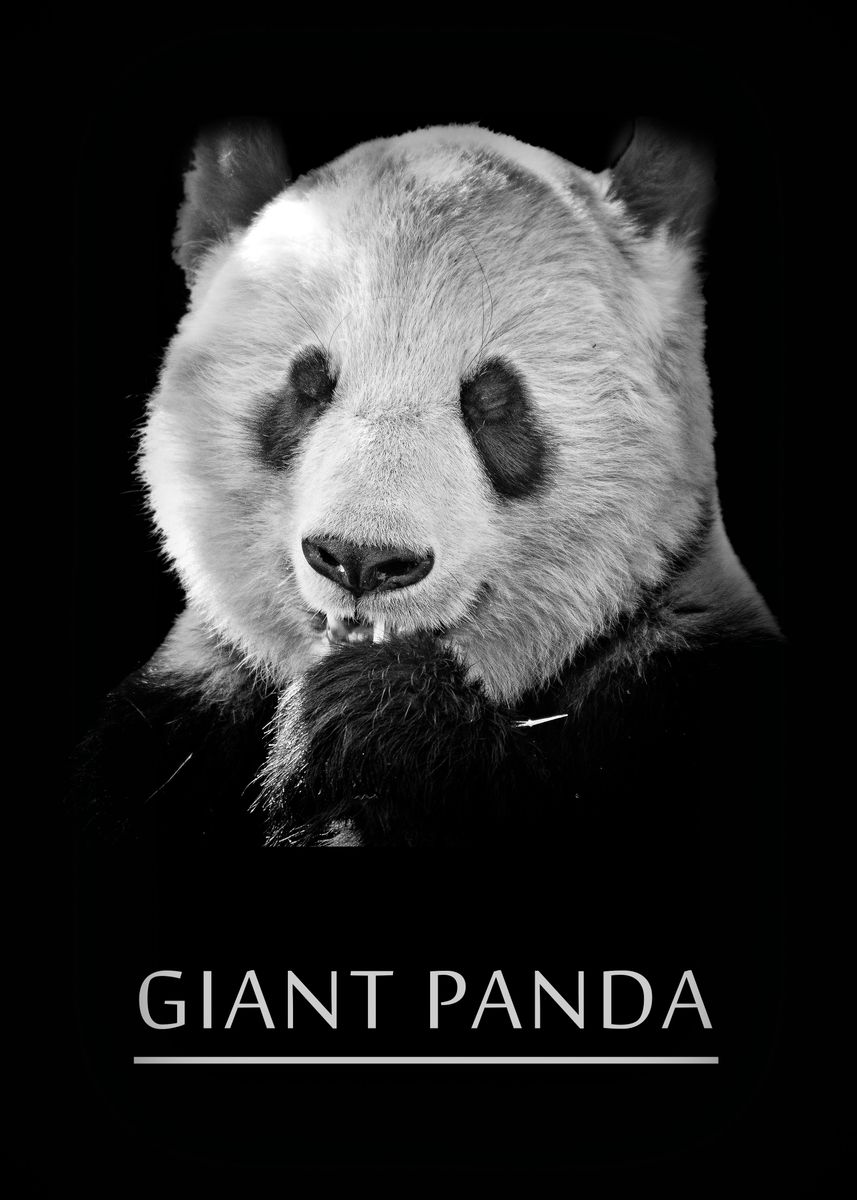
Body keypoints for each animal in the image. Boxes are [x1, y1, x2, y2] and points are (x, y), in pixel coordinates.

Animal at [73, 119, 781, 850]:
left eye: (492, 400)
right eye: (308, 385)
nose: (361, 560)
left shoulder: (679, 687)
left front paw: (375, 720)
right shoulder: (176, 721)